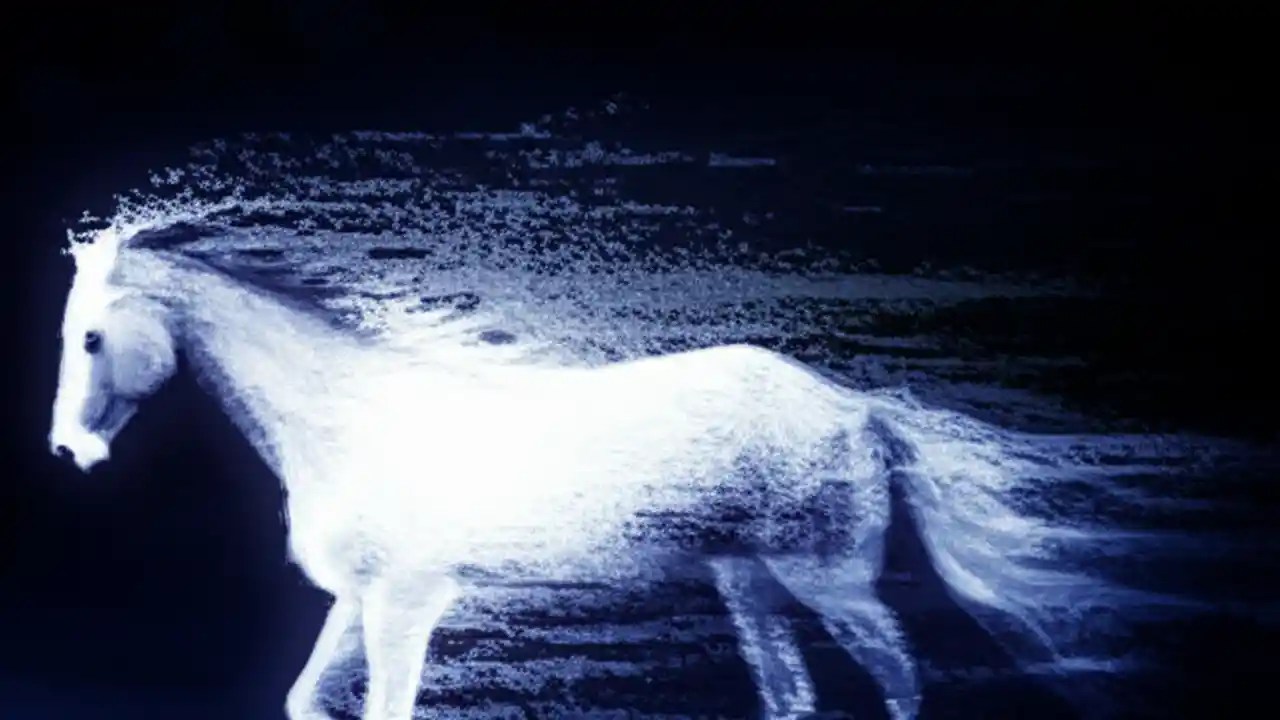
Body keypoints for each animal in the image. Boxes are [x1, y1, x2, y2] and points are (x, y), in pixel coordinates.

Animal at [47, 225, 1054, 720]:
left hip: (830, 582)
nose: (66, 454)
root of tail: (855, 407)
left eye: (90, 338)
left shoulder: (409, 602)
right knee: (793, 699)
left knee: (899, 678)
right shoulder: (361, 600)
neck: (344, 418)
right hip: (751, 584)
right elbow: (304, 699)